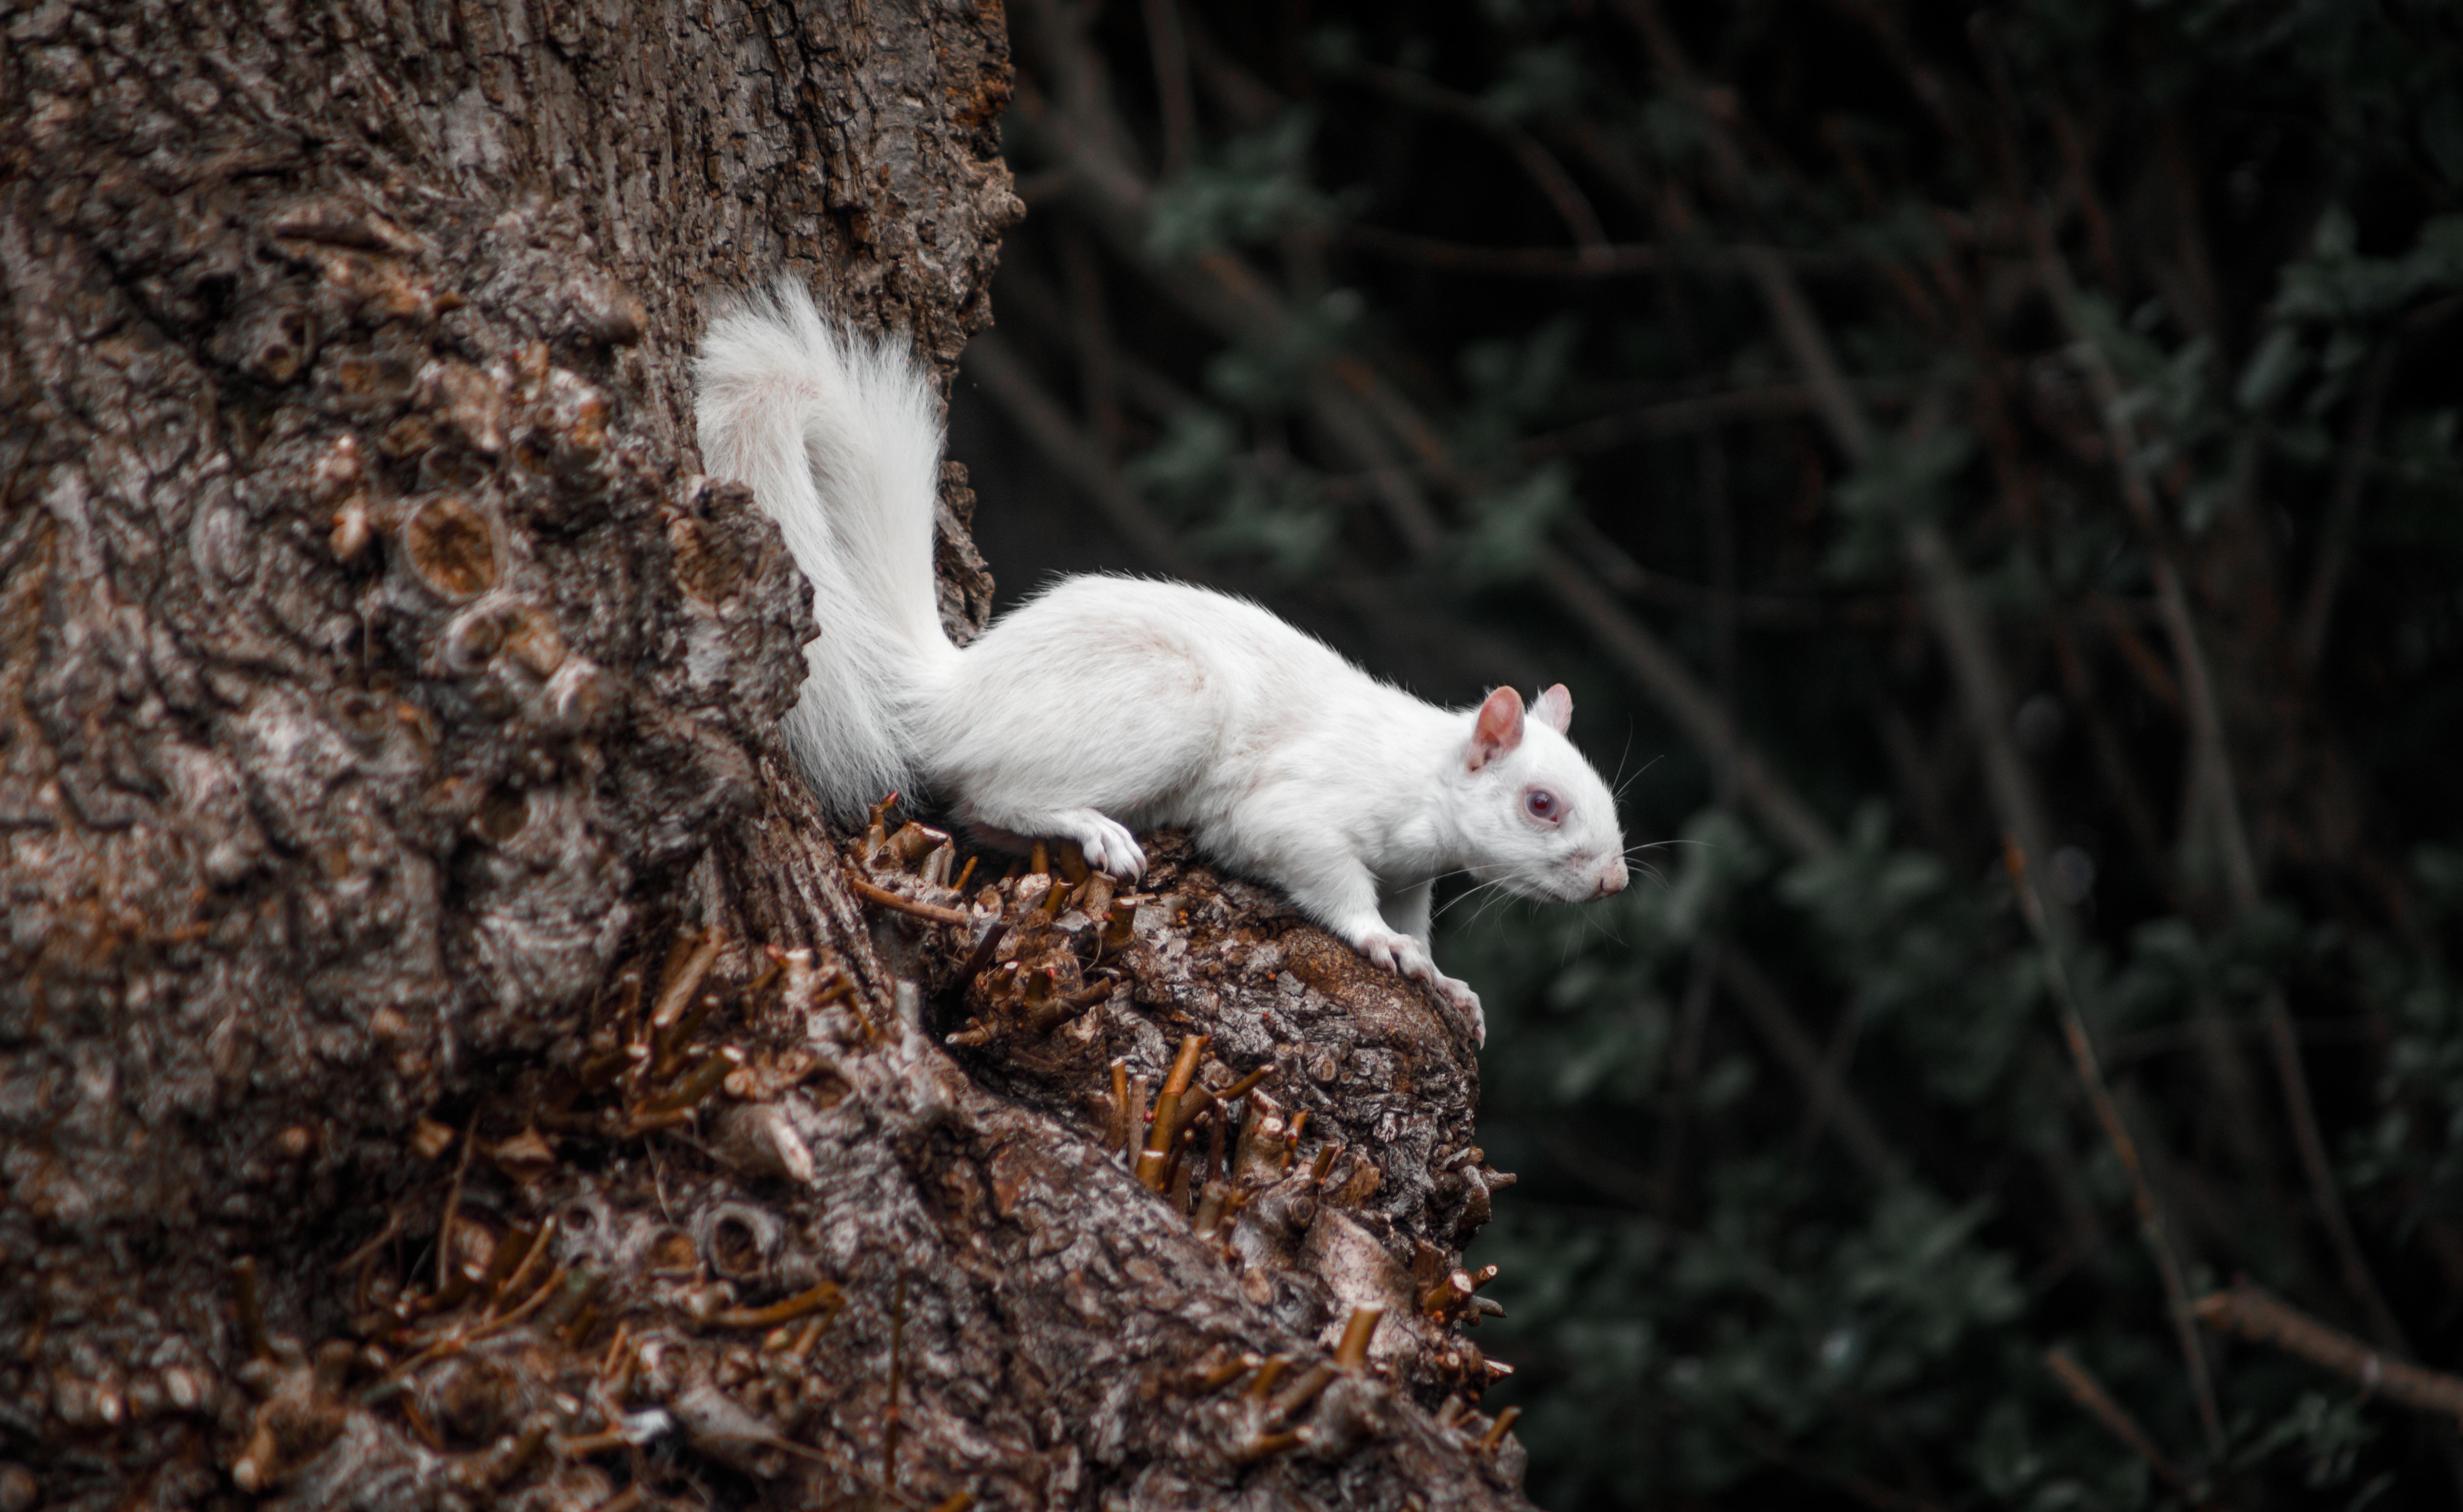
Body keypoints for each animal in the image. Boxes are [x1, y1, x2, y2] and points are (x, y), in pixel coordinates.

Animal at [693, 281, 1628, 1043]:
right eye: (1541, 804)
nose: (1616, 880)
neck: (1419, 777)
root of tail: (959, 693)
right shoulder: (1297, 809)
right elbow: (1329, 880)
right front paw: (1380, 944)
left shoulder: (1412, 873)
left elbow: (1414, 918)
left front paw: (1441, 976)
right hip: (1167, 706)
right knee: (986, 795)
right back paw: (1093, 828)